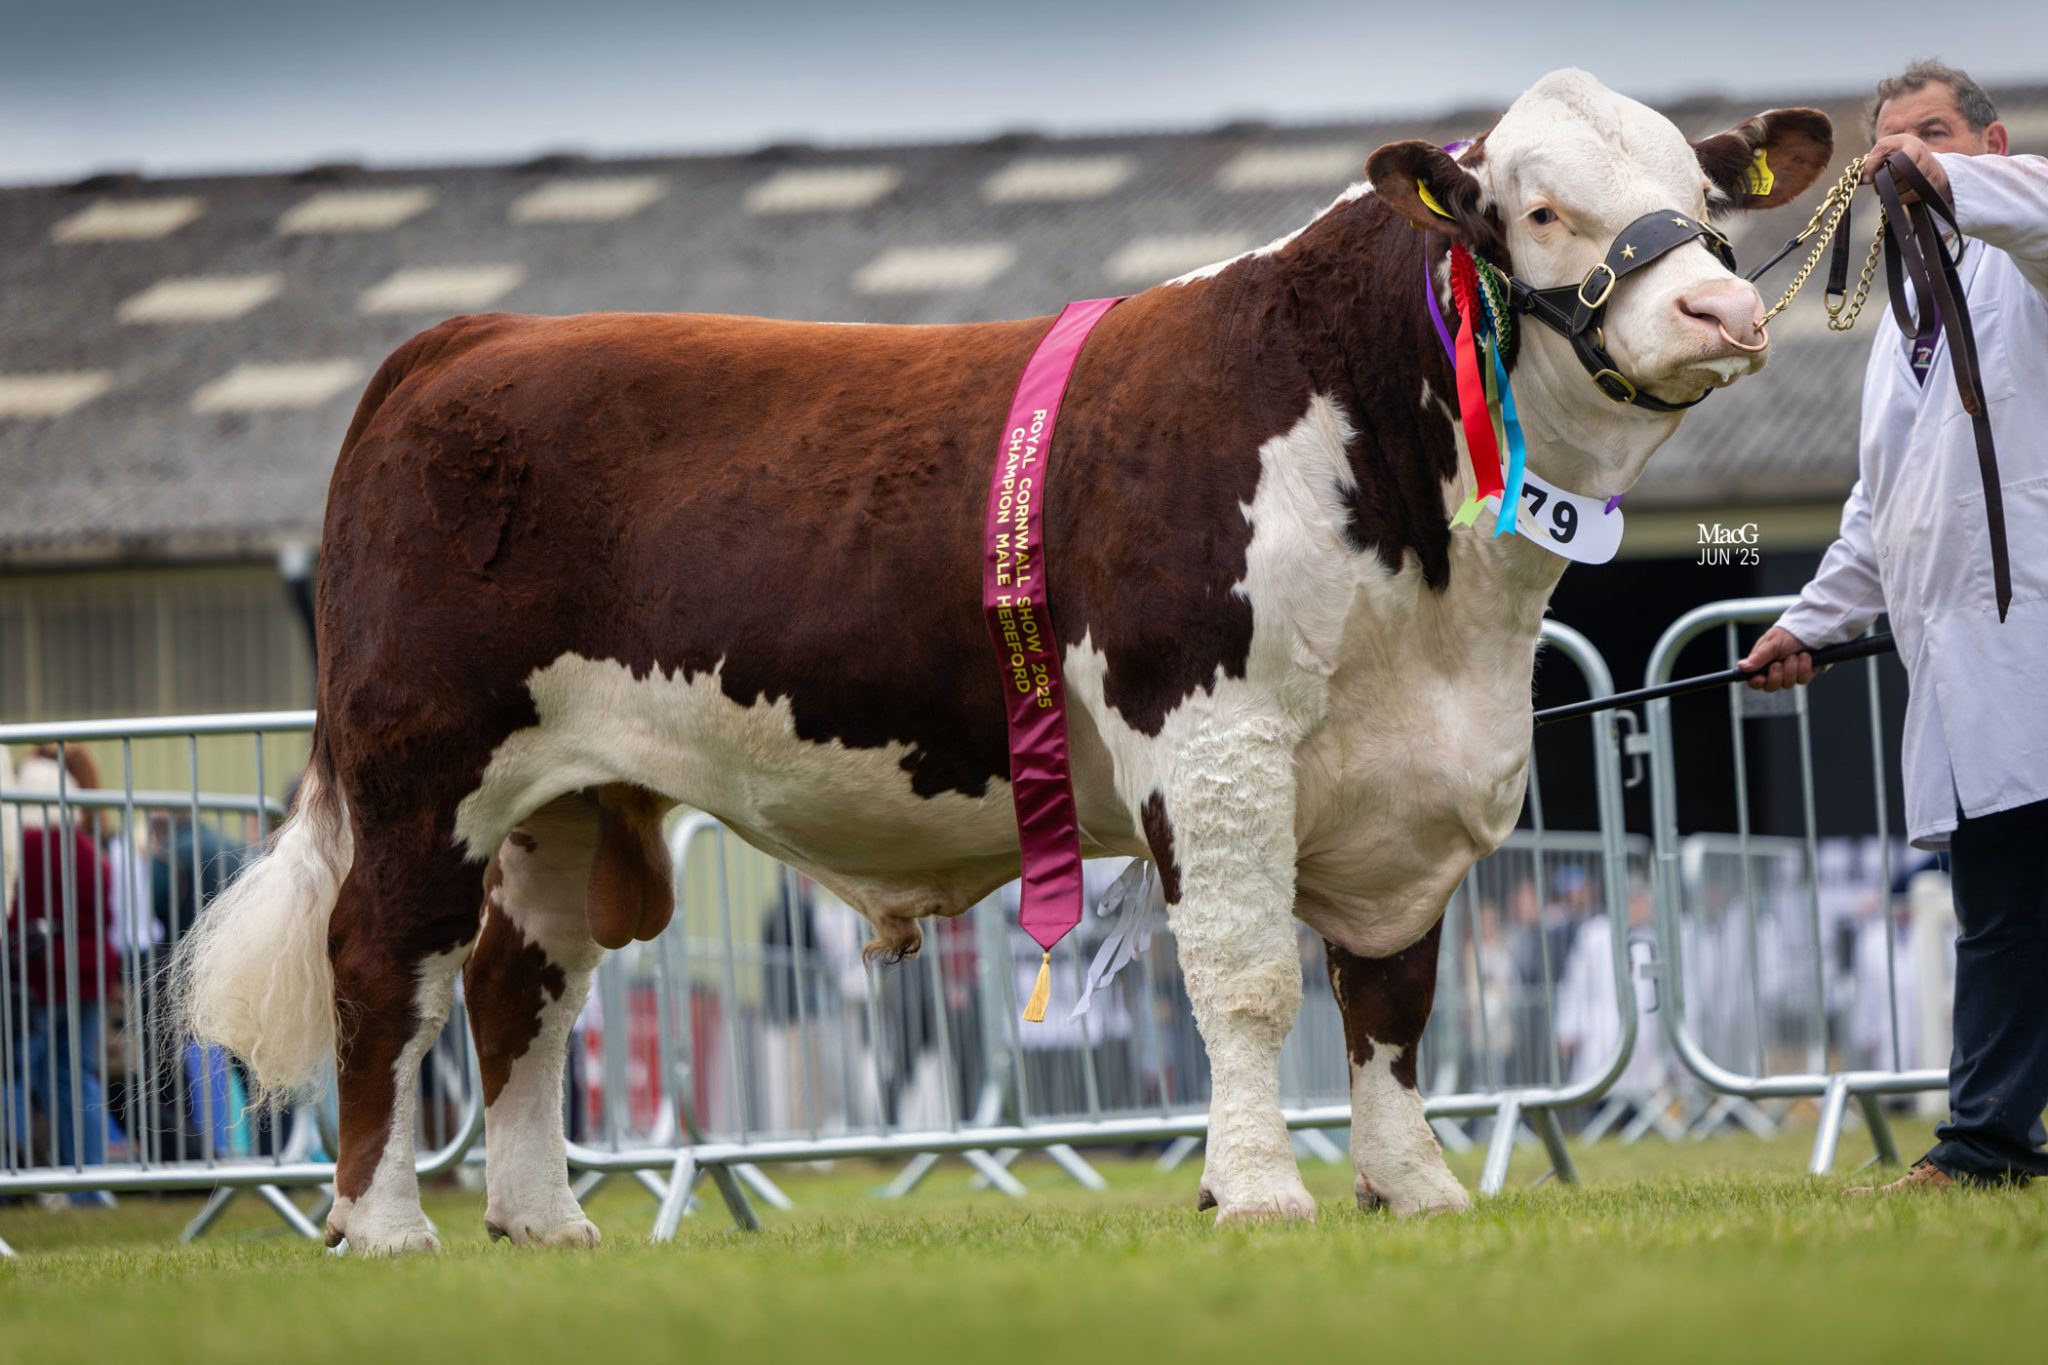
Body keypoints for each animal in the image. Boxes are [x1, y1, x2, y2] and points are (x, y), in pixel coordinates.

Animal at [173, 70, 1831, 1253]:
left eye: (1700, 191)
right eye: (1539, 210)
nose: (1721, 306)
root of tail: (468, 337)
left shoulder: (1404, 784)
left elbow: (1393, 995)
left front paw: (1412, 1187)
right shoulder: (1213, 735)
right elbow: (1246, 981)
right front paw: (1260, 1190)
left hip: (566, 799)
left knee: (522, 984)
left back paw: (542, 1220)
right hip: (422, 765)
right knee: (386, 966)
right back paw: (383, 1226)